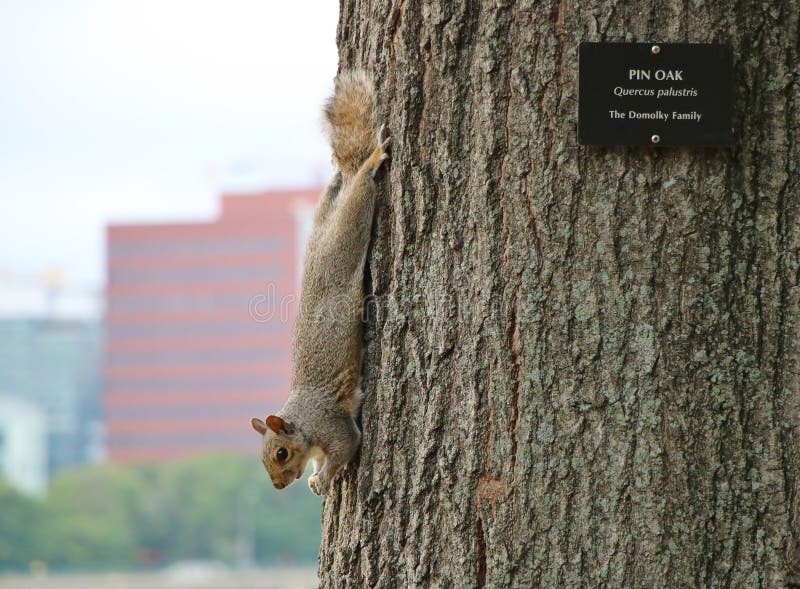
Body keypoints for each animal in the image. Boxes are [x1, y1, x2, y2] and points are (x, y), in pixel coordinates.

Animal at [251, 69, 390, 496]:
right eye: (263, 458)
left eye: (281, 453)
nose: (279, 487)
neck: (304, 421)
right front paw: (316, 474)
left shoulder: (333, 426)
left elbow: (348, 445)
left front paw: (323, 478)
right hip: (324, 216)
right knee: (336, 189)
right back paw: (337, 175)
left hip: (348, 232)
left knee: (360, 188)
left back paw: (372, 160)